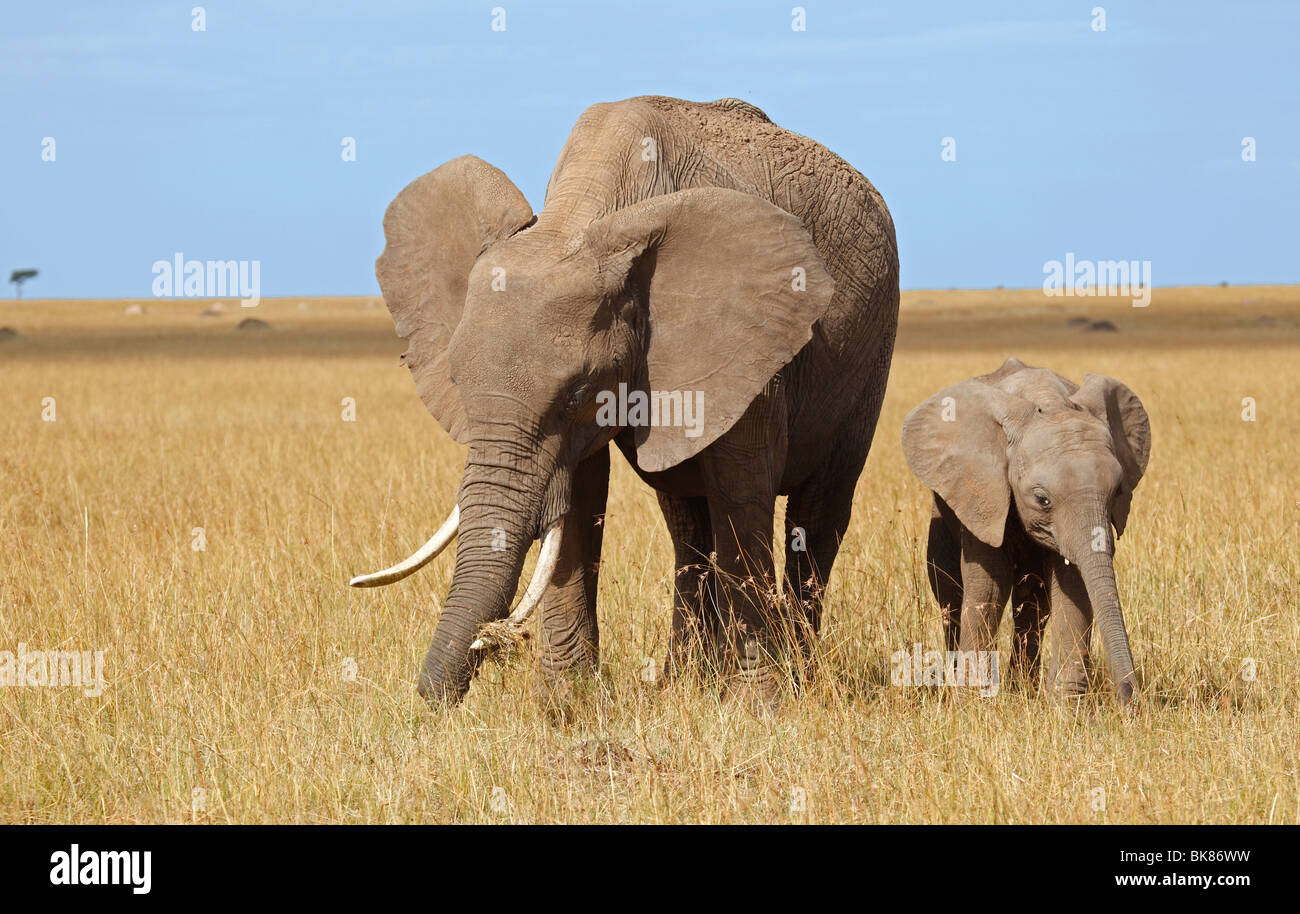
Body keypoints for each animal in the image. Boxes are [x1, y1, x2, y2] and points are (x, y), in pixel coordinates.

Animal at [349, 95, 899, 707]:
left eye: (577, 393)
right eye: (455, 379)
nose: (429, 704)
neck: (579, 220)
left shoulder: (746, 349)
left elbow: (742, 493)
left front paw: (759, 704)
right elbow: (579, 500)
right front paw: (565, 705)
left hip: (871, 353)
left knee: (818, 512)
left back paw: (795, 673)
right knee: (687, 524)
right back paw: (687, 678)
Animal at [901, 358, 1151, 705]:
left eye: (1118, 493)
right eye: (1042, 499)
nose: (1130, 699)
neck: (1047, 401)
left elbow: (1073, 585)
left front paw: (1066, 707)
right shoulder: (982, 490)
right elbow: (989, 583)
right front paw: (971, 703)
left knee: (1033, 602)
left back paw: (1024, 688)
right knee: (948, 589)